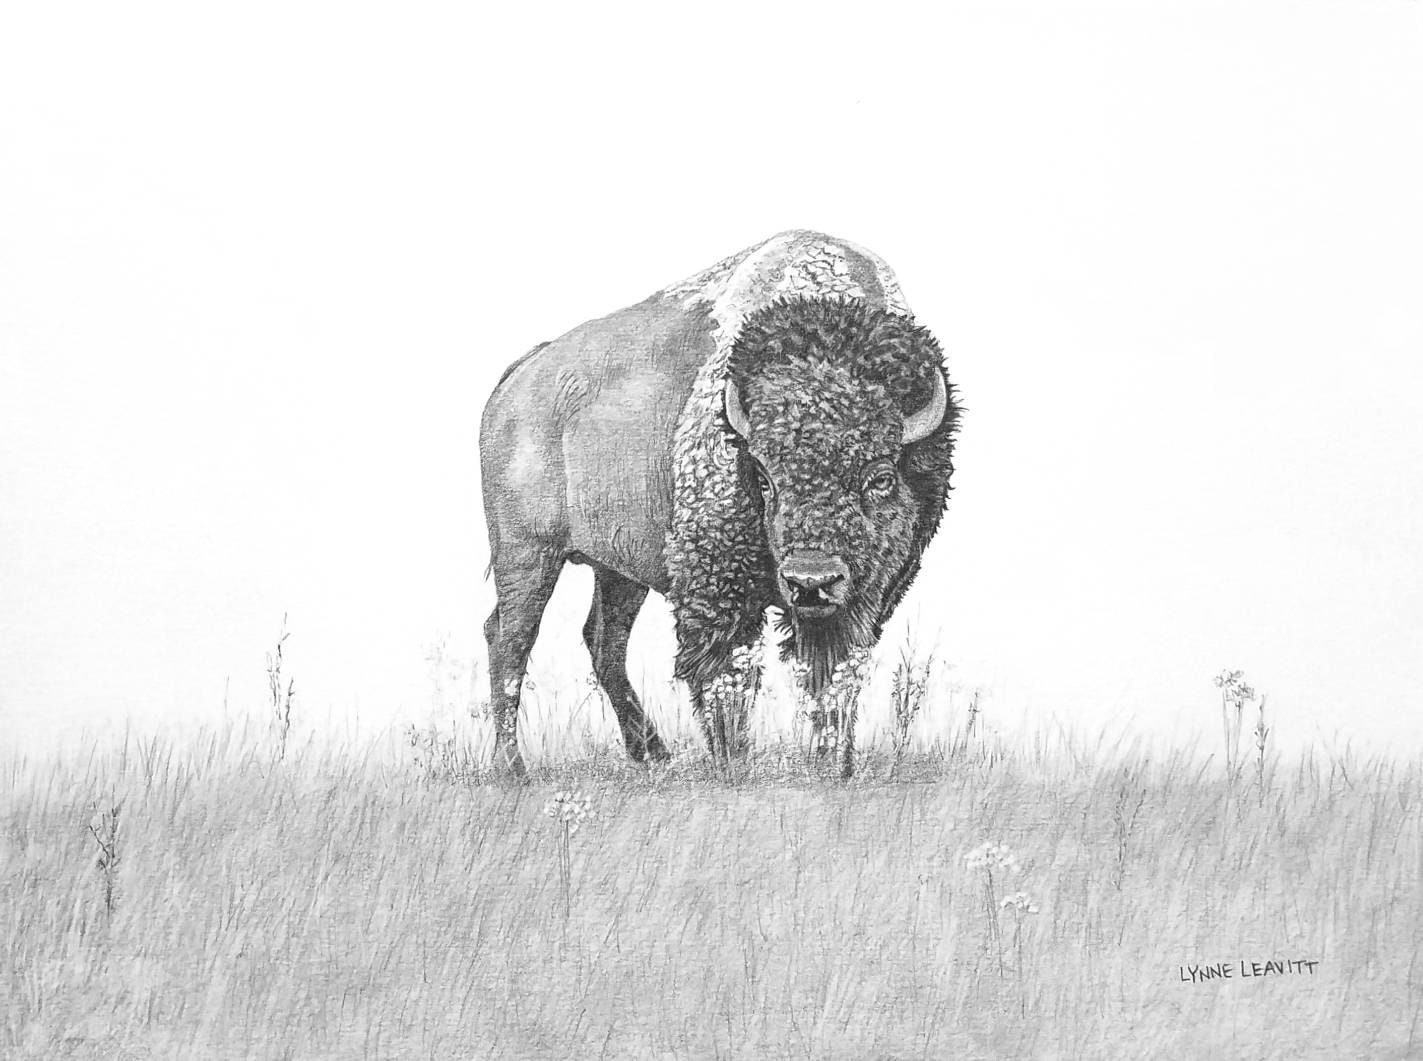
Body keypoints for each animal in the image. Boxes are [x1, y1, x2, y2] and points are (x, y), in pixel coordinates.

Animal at [480, 230, 959, 776]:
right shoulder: (716, 588)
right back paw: (513, 769)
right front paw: (734, 767)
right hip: (526, 555)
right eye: (764, 478)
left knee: (603, 641)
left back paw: (653, 754)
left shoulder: (861, 600)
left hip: (617, 570)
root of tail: (518, 379)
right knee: (510, 638)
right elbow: (726, 674)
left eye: (880, 477)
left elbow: (833, 679)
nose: (810, 581)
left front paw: (833, 766)